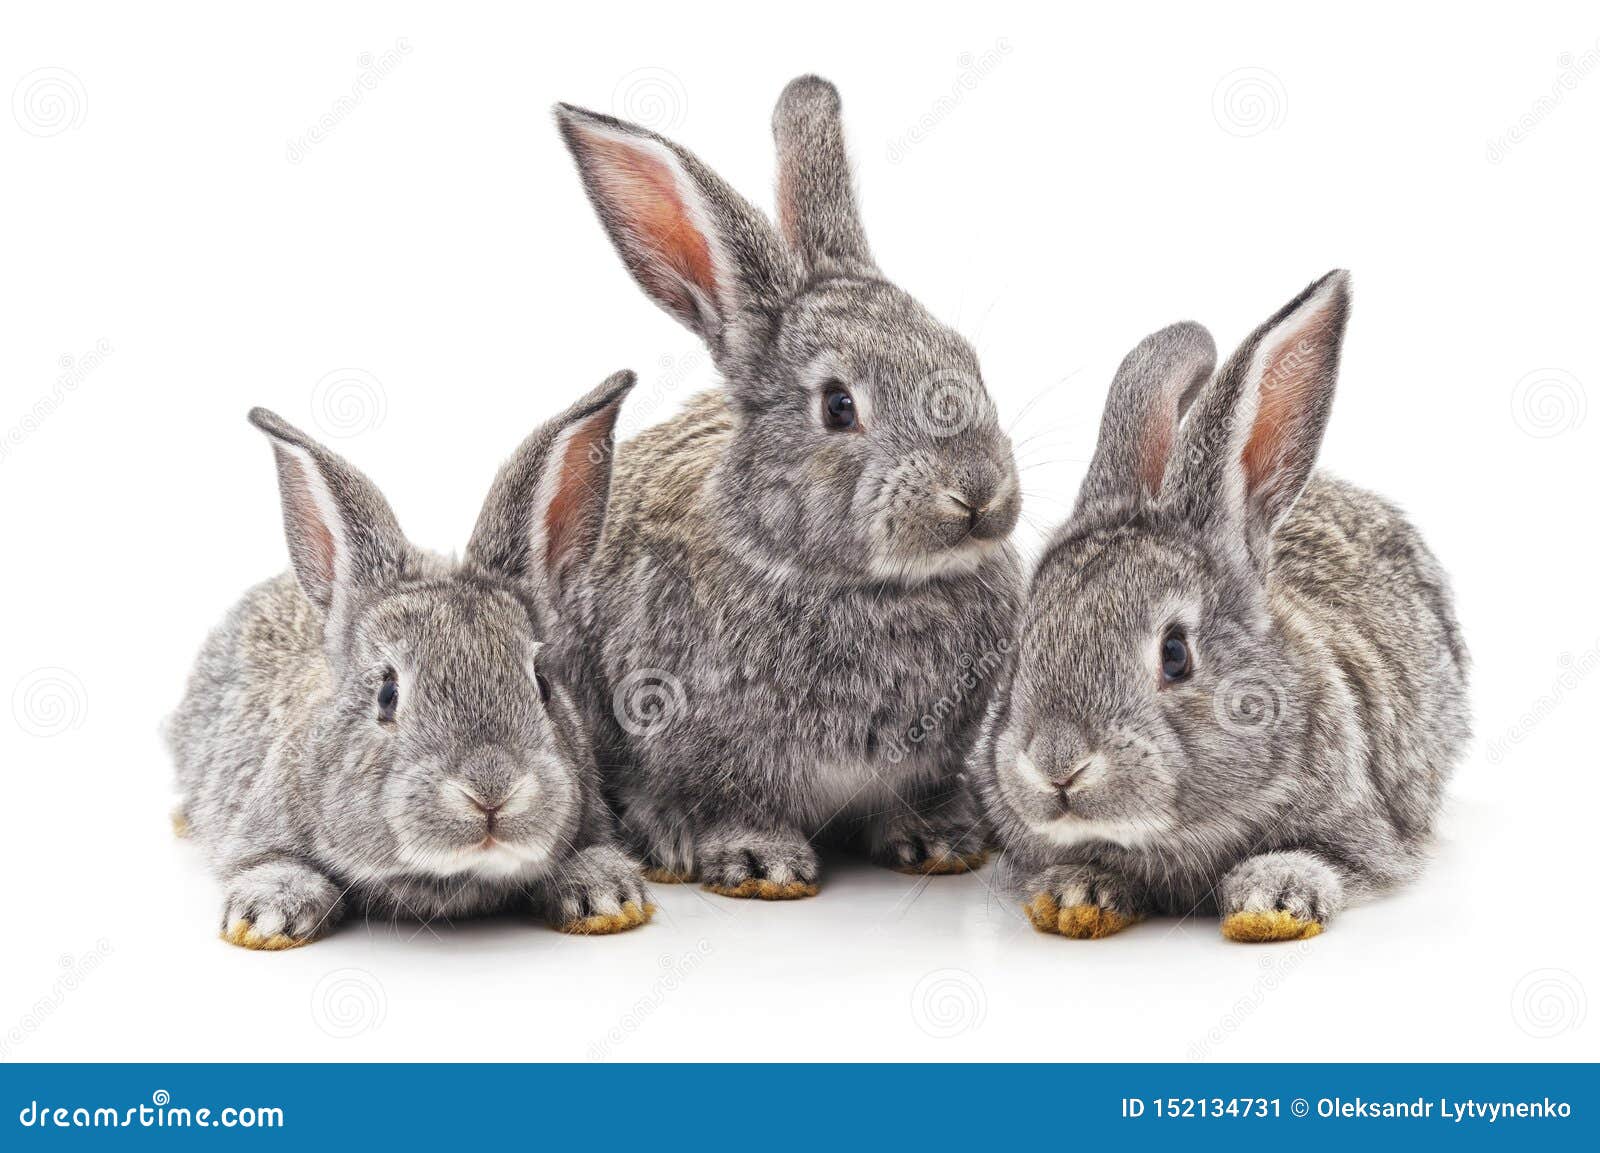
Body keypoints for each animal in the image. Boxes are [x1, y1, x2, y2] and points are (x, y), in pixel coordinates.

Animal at [165, 372, 656, 948]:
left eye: (542, 685)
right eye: (387, 693)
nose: (491, 792)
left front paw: (606, 898)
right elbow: (266, 864)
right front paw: (268, 918)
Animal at [552, 76, 1024, 897]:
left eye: (966, 361)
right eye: (838, 406)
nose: (977, 492)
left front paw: (936, 840)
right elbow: (726, 804)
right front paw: (756, 860)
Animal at [974, 270, 1470, 942]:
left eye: (1175, 654)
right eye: (1018, 650)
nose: (1057, 766)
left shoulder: (1369, 834)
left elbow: (1327, 862)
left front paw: (1271, 903)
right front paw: (1074, 895)